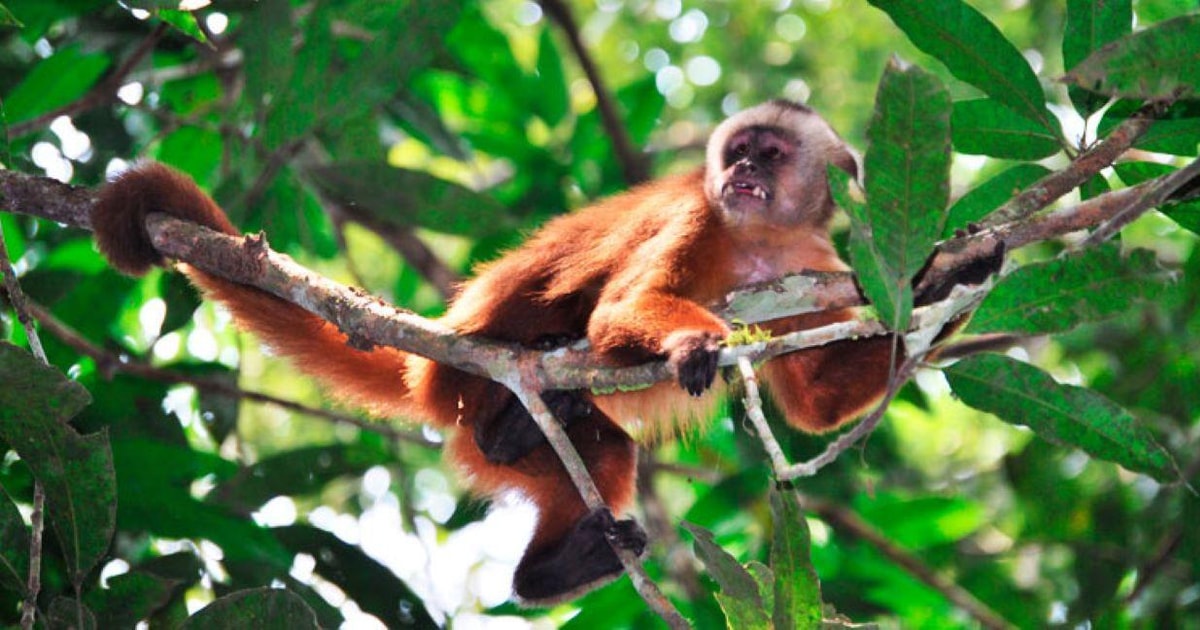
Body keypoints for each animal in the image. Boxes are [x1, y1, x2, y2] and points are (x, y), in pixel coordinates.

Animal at [92, 100, 976, 605]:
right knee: (566, 322)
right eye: (739, 152)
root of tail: (432, 366)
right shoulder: (697, 211)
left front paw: (958, 276)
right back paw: (525, 395)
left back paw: (547, 562)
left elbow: (814, 406)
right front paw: (694, 340)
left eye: (773, 154)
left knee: (602, 449)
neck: (759, 239)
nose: (745, 171)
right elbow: (619, 312)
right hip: (465, 376)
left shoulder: (823, 266)